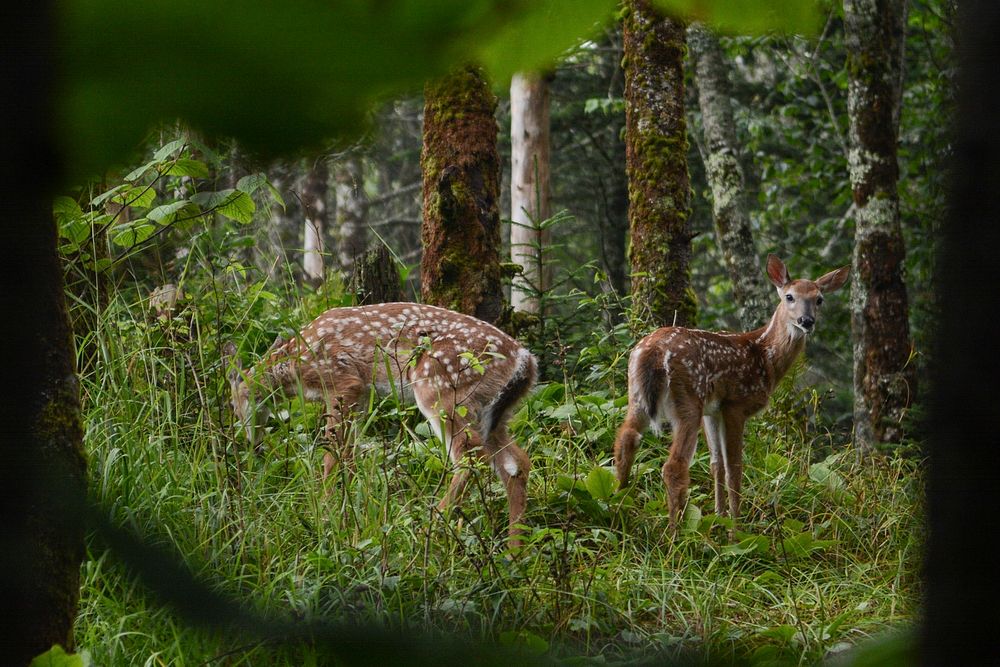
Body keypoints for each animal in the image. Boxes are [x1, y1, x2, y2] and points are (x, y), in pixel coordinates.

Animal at [222, 302, 537, 546]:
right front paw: (344, 510)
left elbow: (332, 453)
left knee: (471, 457)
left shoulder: (344, 382)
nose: (251, 443)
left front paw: (324, 510)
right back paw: (514, 553)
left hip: (440, 389)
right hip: (492, 412)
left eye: (234, 405)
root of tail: (526, 361)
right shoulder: (360, 397)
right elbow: (347, 453)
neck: (295, 364)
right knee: (516, 462)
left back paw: (429, 527)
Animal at [613, 255, 850, 533]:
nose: (806, 321)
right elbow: (734, 467)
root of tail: (654, 351)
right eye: (789, 296)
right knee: (673, 466)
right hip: (688, 400)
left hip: (638, 394)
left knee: (626, 439)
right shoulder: (736, 405)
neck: (765, 357)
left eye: (819, 299)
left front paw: (719, 516)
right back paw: (674, 533)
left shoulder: (713, 410)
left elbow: (717, 463)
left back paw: (617, 509)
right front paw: (736, 529)